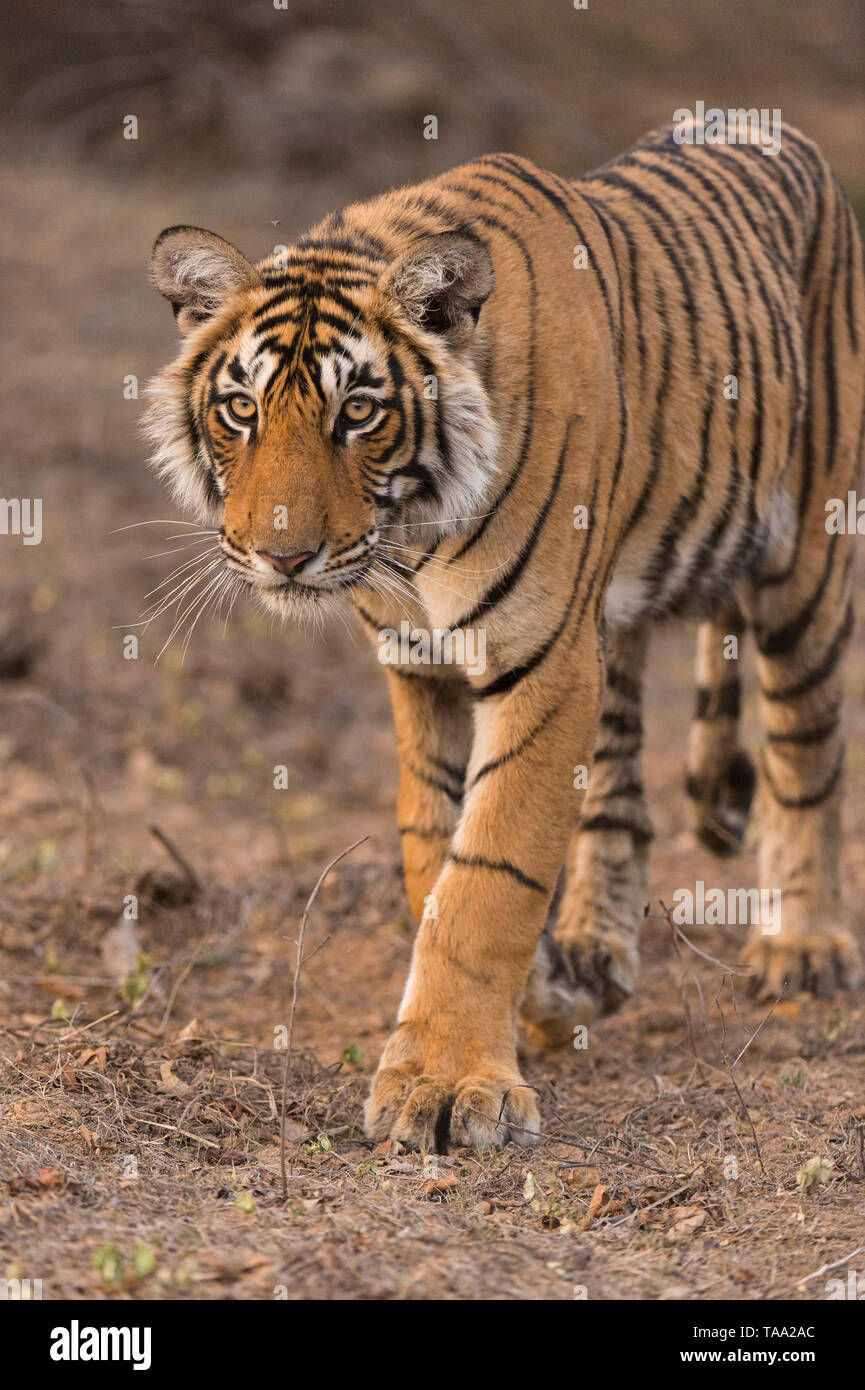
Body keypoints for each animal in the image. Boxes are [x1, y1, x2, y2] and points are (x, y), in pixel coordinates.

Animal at [145, 120, 865, 1153]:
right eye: (241, 409)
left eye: (357, 411)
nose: (282, 556)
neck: (409, 534)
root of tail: (766, 124)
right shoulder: (425, 670)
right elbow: (431, 857)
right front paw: (530, 1005)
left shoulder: (541, 665)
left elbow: (487, 879)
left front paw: (446, 1086)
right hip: (616, 617)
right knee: (622, 796)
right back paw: (589, 961)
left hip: (803, 561)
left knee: (804, 756)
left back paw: (802, 945)